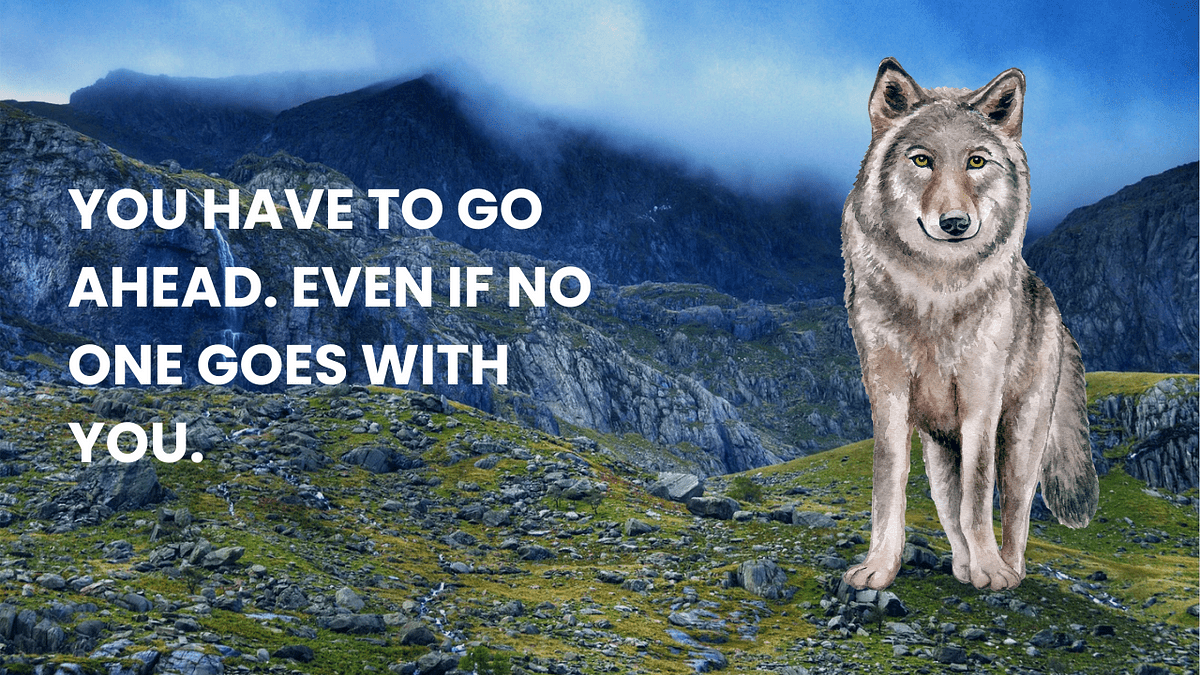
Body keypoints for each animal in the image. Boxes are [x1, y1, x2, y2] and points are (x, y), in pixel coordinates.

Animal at [840, 58, 1099, 591]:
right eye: (922, 161)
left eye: (976, 163)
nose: (956, 223)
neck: (935, 294)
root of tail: (1053, 306)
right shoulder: (887, 394)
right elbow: (890, 484)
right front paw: (879, 568)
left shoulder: (982, 397)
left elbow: (980, 495)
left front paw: (992, 571)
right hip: (939, 448)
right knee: (948, 504)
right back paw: (963, 567)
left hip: (1021, 441)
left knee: (1016, 509)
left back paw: (1008, 568)